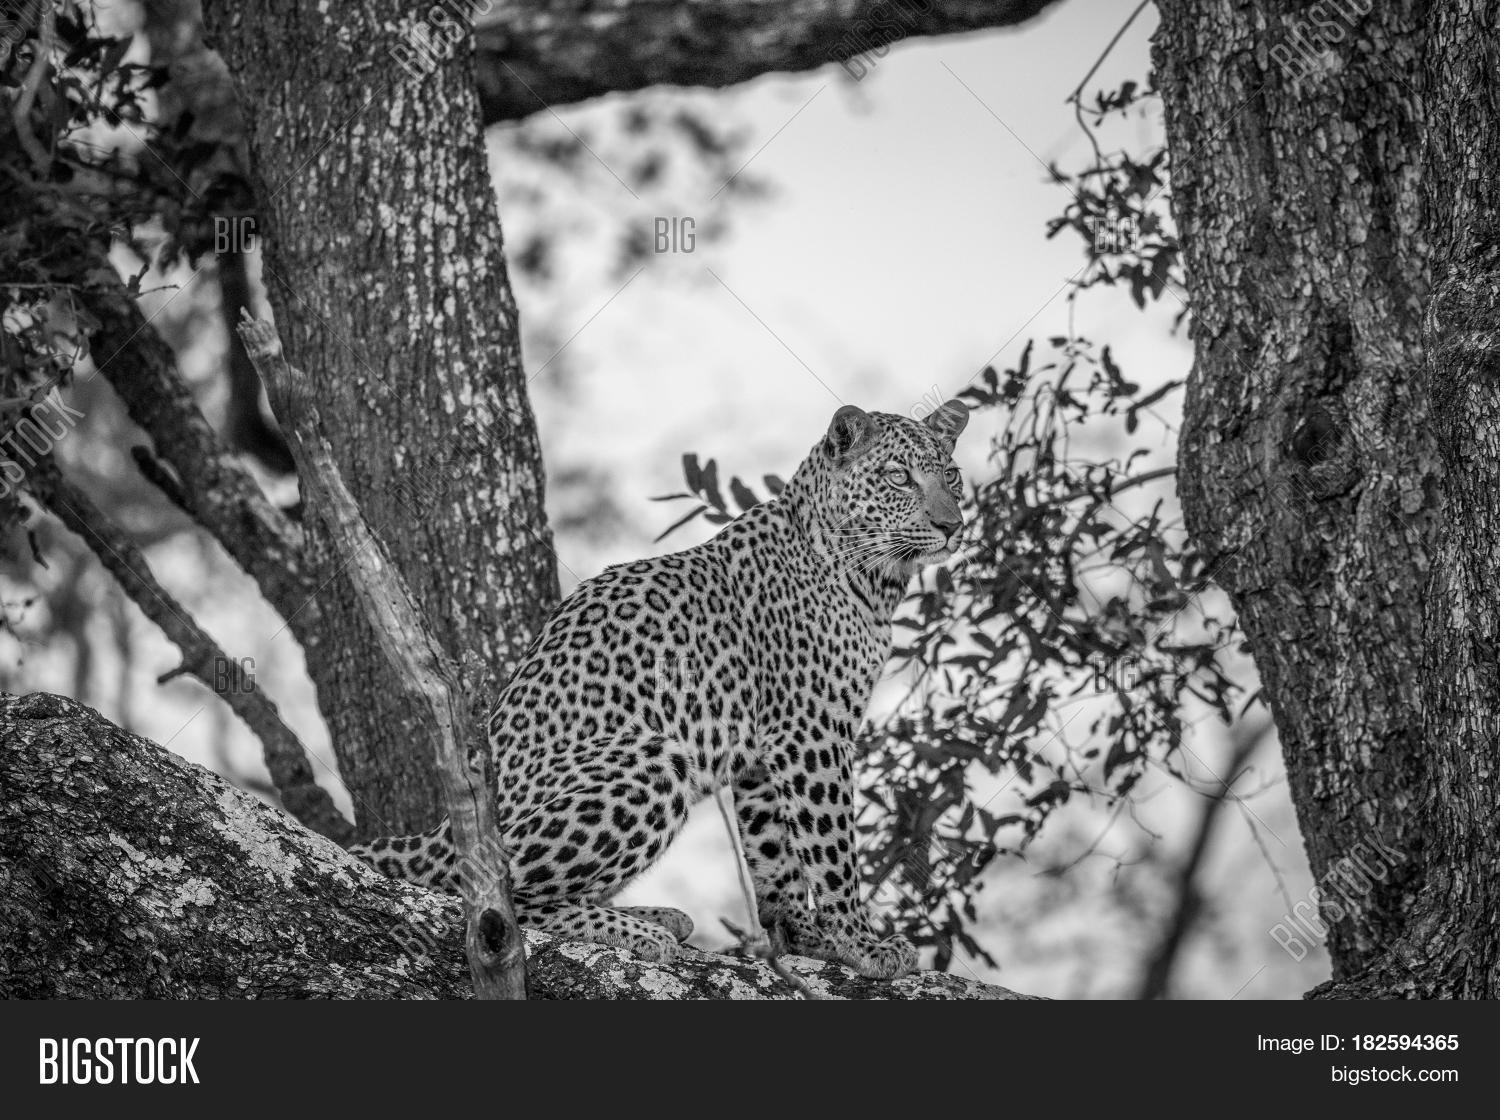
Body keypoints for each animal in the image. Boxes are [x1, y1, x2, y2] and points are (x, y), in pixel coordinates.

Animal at [351, 398, 971, 979]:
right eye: (898, 477)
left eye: (951, 475)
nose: (951, 526)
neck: (875, 581)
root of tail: (433, 834)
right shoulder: (810, 732)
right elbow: (831, 845)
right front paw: (863, 943)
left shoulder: (763, 751)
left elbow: (774, 848)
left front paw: (804, 934)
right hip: (651, 760)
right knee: (492, 900)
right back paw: (637, 930)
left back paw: (657, 917)